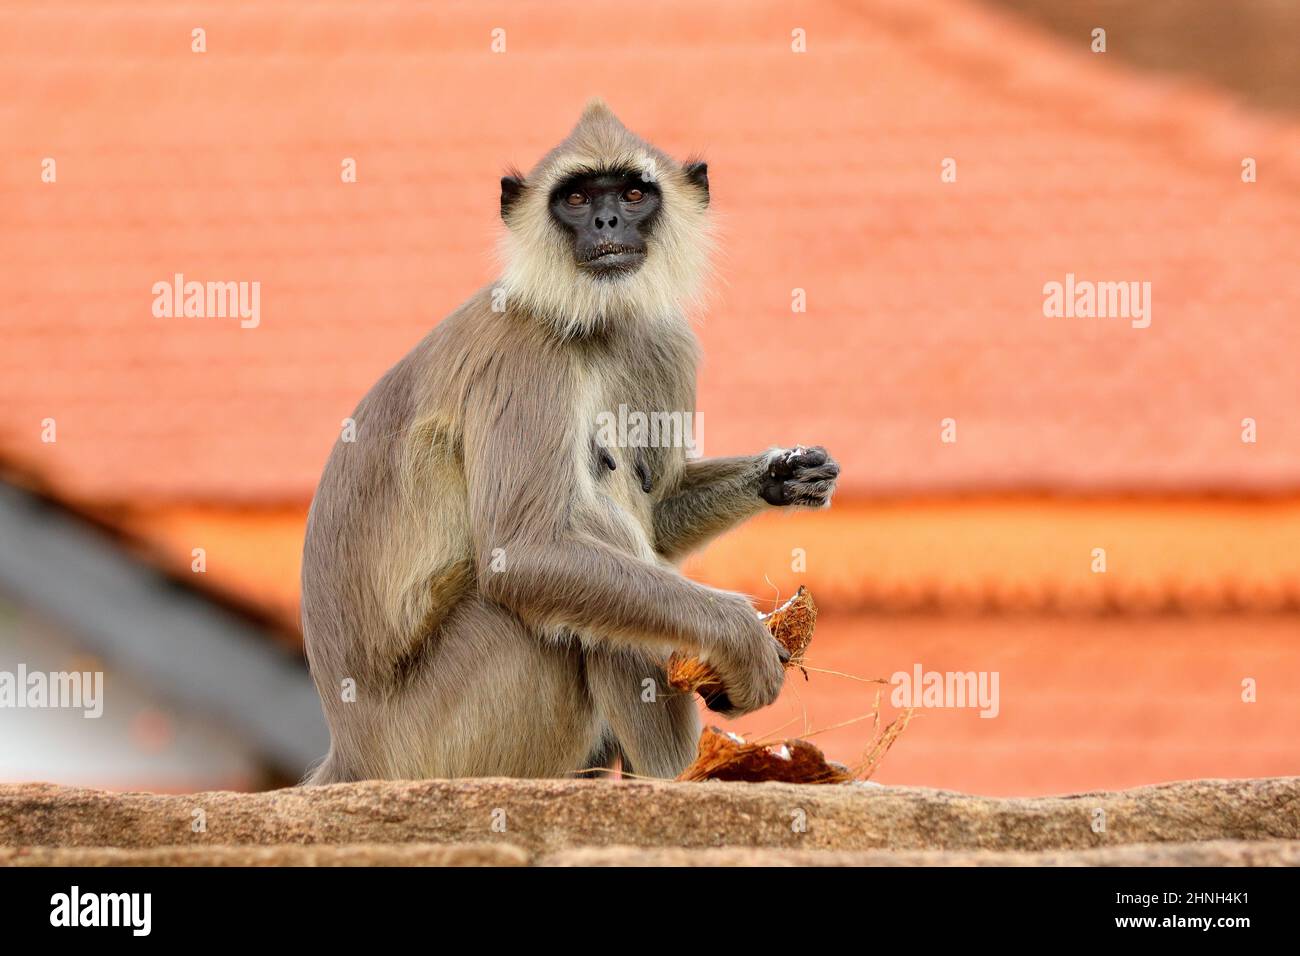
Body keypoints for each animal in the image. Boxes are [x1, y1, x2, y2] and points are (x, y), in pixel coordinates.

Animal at [300, 100, 839, 784]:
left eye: (633, 194)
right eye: (577, 198)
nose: (606, 221)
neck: (590, 322)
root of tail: (353, 750)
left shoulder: (664, 340)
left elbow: (658, 511)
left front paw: (787, 474)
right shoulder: (526, 354)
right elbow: (524, 553)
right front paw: (739, 635)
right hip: (442, 735)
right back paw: (686, 776)